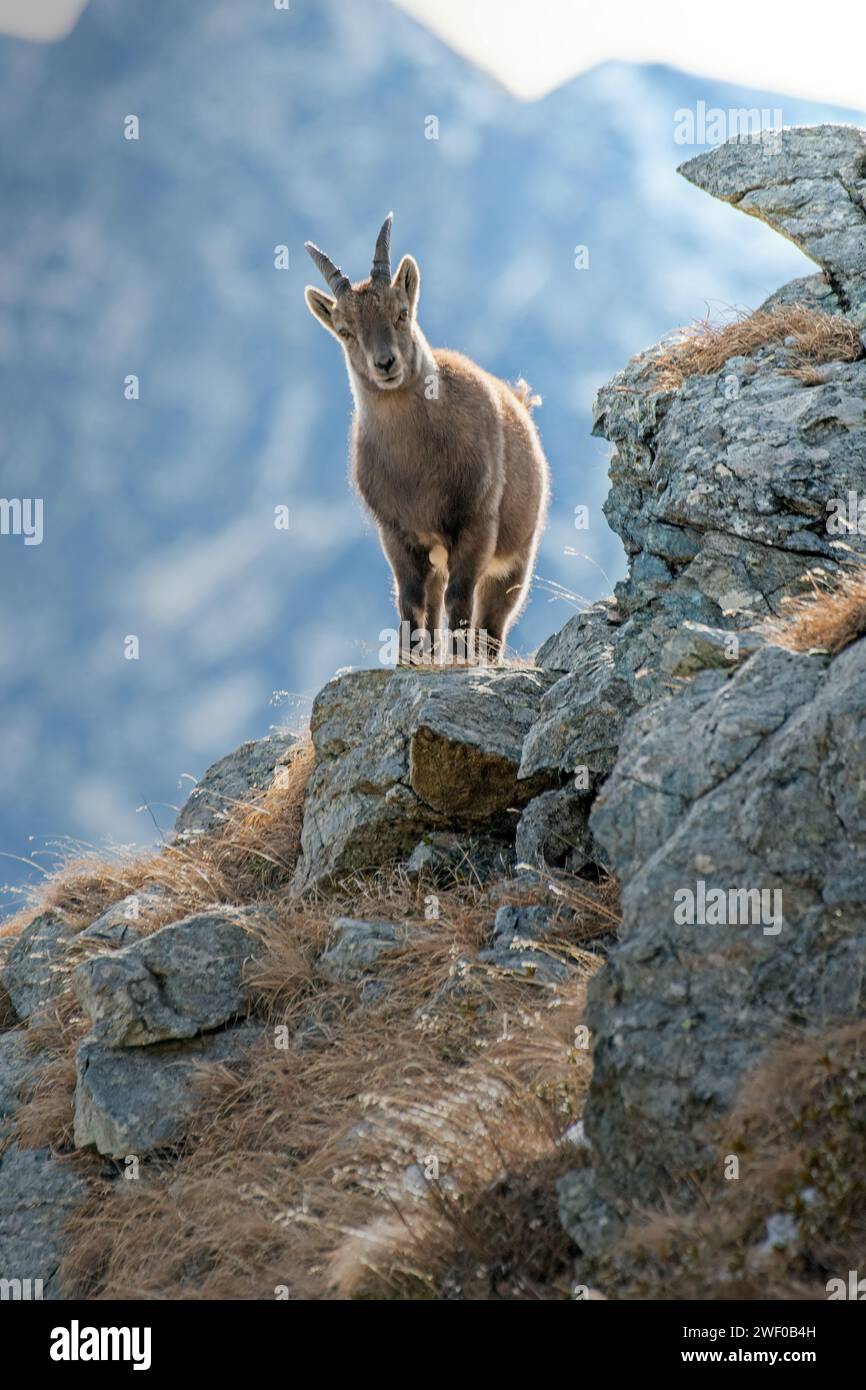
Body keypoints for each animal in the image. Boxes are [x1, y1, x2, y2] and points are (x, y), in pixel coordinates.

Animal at [304, 213, 549, 664]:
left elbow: (460, 599)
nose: (385, 363)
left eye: (401, 313)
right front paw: (410, 661)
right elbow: (410, 602)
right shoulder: (396, 533)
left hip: (515, 558)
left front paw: (458, 661)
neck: (415, 464)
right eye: (345, 331)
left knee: (492, 622)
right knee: (433, 604)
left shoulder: (475, 524)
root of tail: (520, 399)